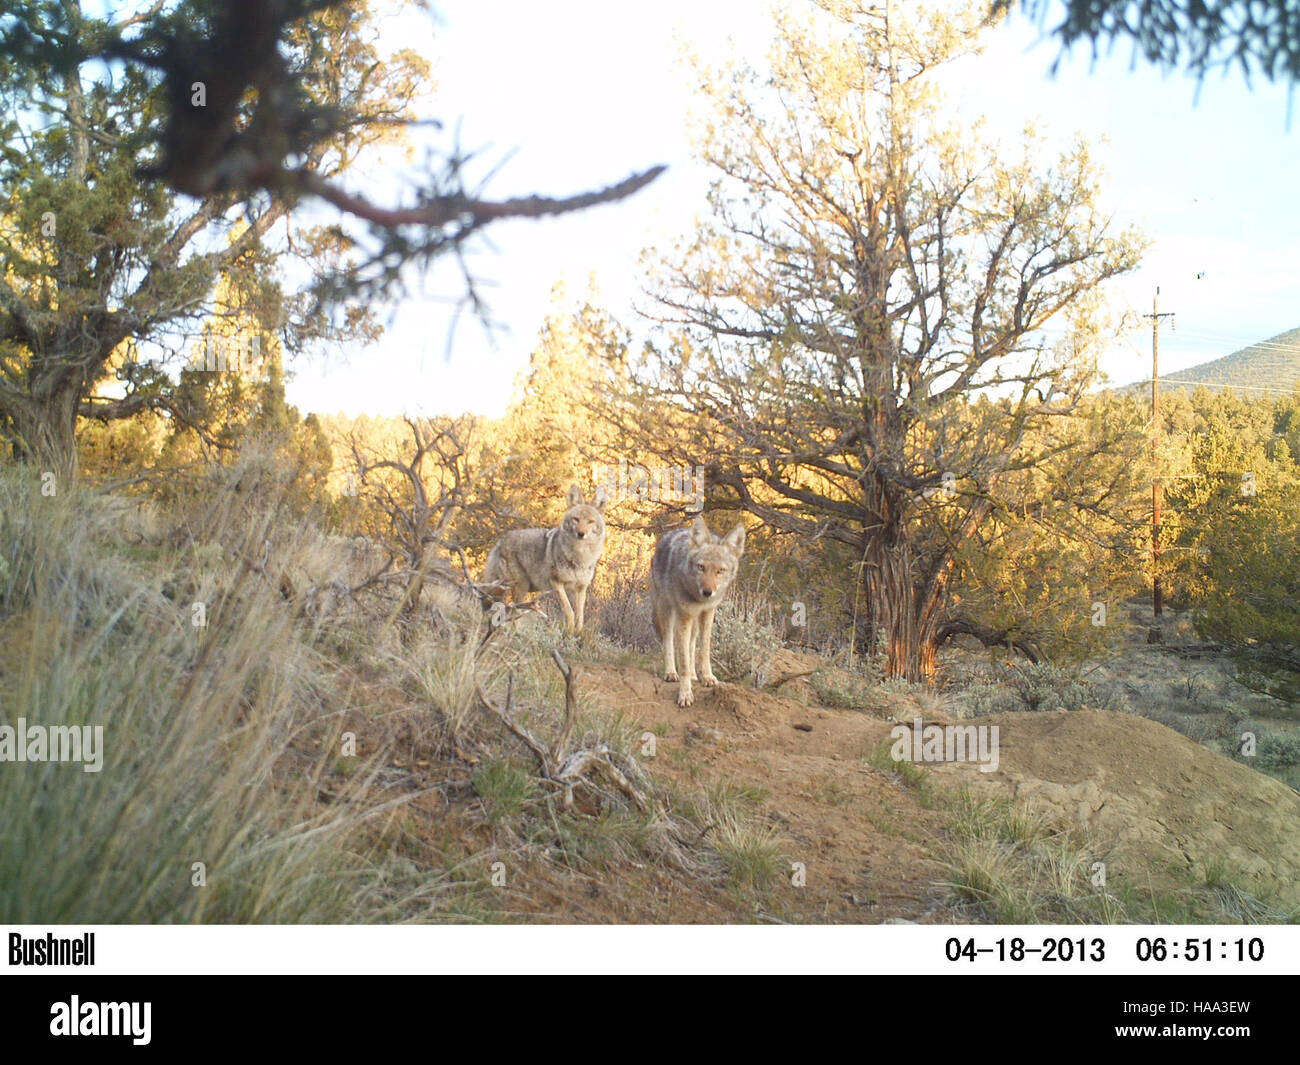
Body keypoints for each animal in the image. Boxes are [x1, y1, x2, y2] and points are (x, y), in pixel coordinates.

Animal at [482, 485, 608, 633]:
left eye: (590, 522)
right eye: (576, 519)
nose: (581, 534)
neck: (580, 556)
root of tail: (500, 541)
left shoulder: (581, 588)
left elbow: (580, 615)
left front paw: (577, 633)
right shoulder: (556, 582)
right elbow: (569, 611)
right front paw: (569, 631)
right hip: (520, 586)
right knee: (513, 610)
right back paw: (515, 632)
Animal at [650, 515, 746, 708]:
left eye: (720, 571)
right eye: (701, 567)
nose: (707, 592)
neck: (698, 599)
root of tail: (670, 533)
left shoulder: (708, 613)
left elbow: (703, 650)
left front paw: (707, 677)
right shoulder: (684, 616)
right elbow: (683, 662)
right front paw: (685, 694)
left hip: (694, 622)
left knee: (691, 644)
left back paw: (695, 675)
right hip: (668, 612)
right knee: (668, 641)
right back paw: (671, 673)